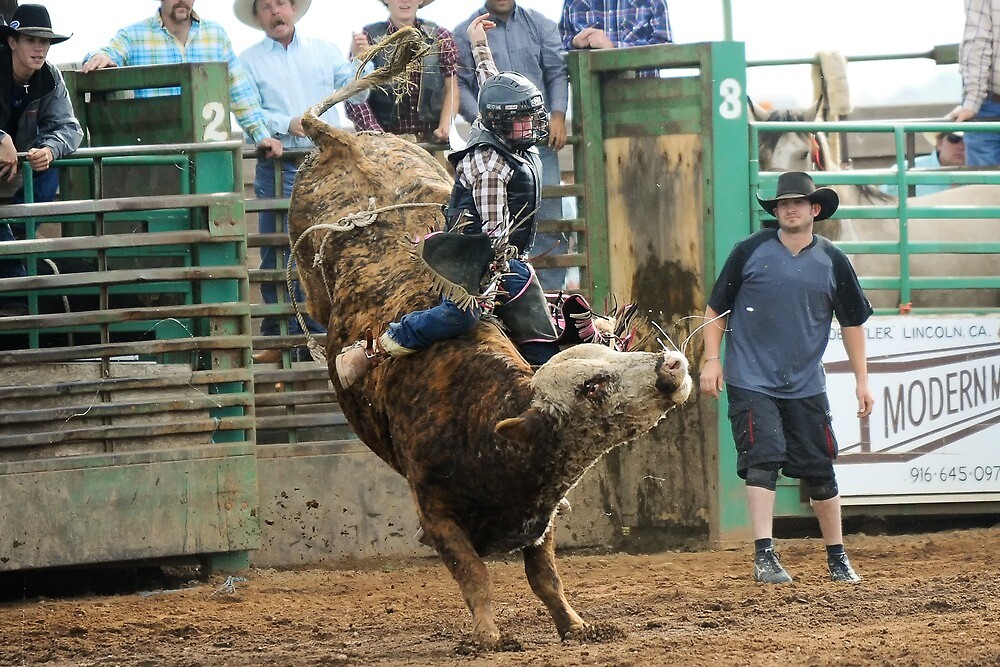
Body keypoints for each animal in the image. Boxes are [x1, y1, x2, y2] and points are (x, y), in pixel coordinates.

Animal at [287, 28, 693, 650]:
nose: (671, 365)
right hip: (308, 262)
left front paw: (576, 625)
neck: (479, 416)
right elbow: (473, 573)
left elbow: (544, 574)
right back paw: (353, 355)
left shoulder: (537, 516)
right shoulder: (434, 514)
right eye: (594, 387)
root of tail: (342, 143)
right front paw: (487, 635)